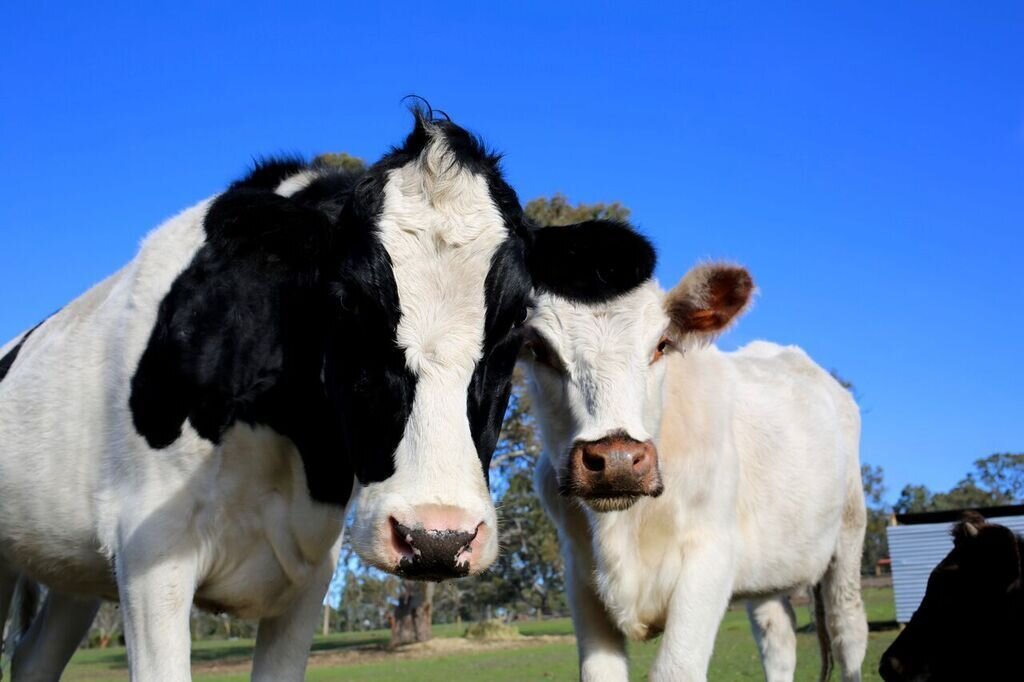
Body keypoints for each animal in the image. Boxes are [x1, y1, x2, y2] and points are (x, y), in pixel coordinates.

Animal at [0, 109, 656, 681]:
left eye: (518, 318)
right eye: (345, 303)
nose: (436, 538)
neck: (289, 435)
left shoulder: (307, 570)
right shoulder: (149, 558)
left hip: (73, 578)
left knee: (33, 658)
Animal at [522, 262, 868, 682]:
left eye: (661, 344)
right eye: (539, 349)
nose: (617, 459)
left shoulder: (710, 557)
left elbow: (676, 669)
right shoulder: (579, 575)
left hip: (849, 532)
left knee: (847, 628)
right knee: (778, 638)